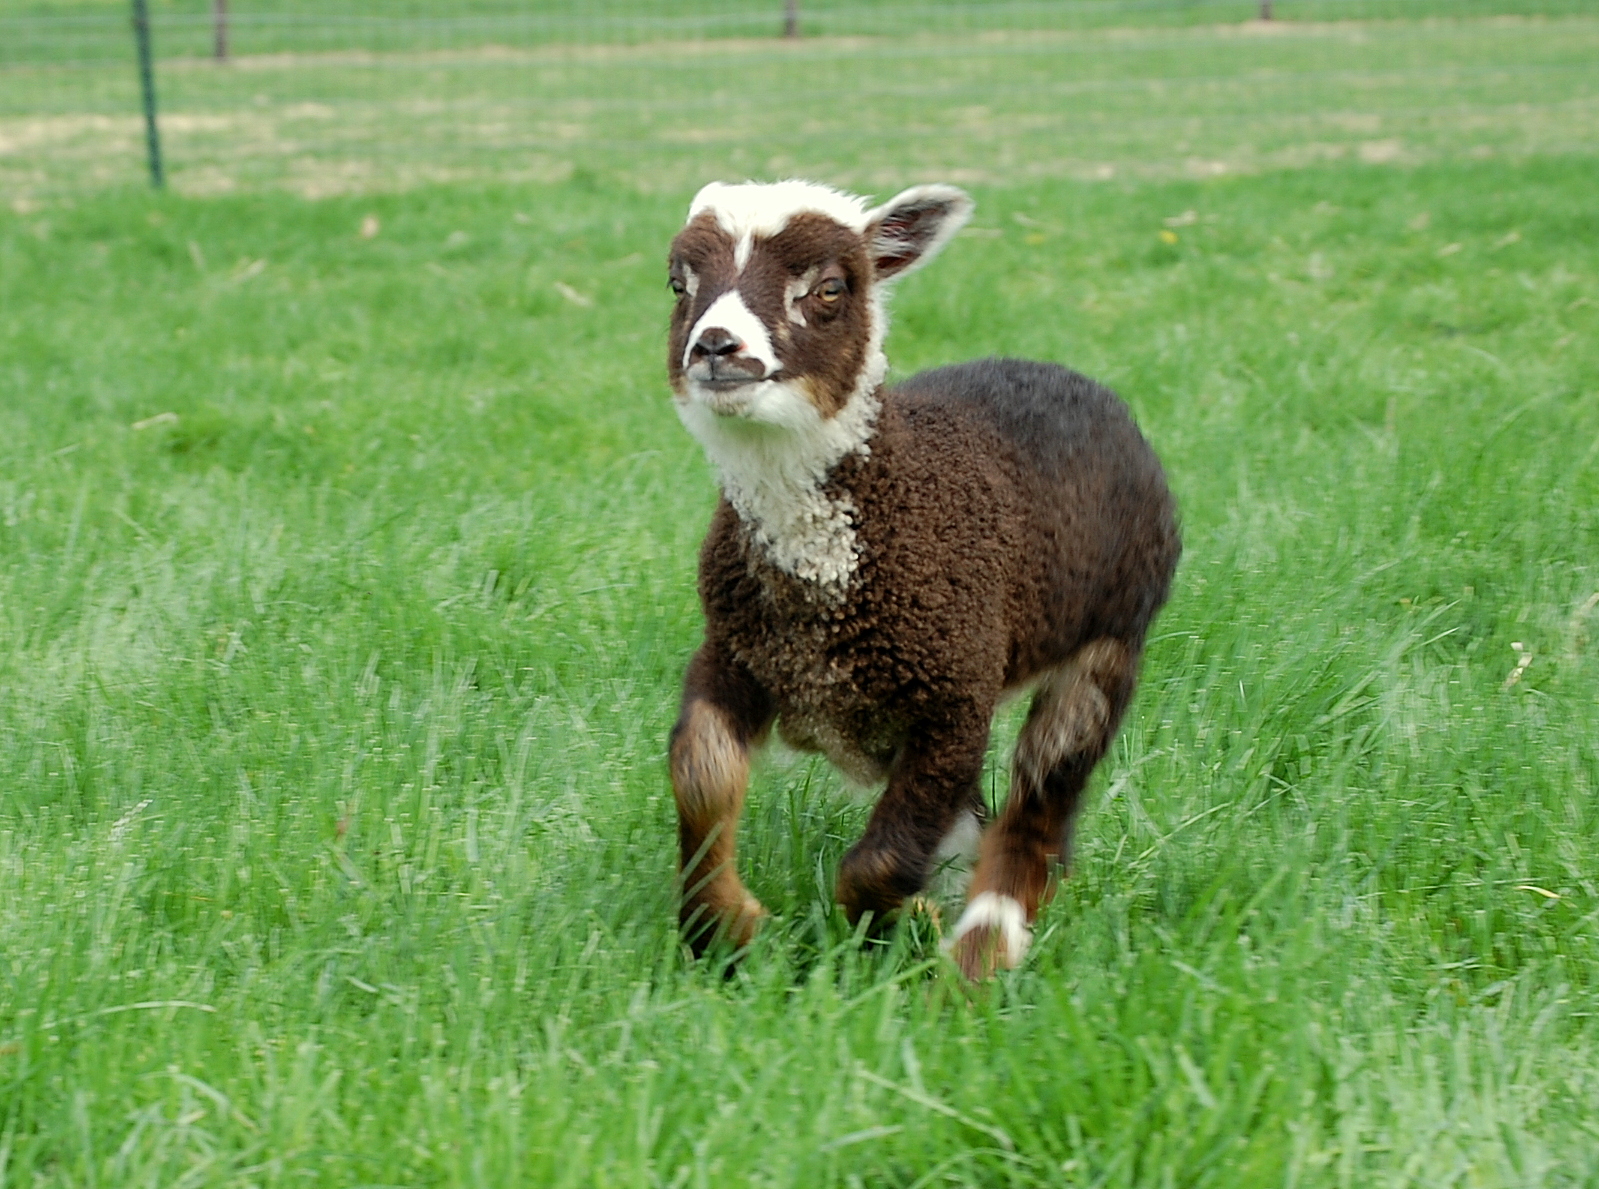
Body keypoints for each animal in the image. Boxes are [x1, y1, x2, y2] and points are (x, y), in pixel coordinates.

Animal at [664, 180, 1180, 978]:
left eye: (829, 287)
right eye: (678, 284)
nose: (716, 347)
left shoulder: (955, 691)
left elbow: (879, 861)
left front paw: (892, 925)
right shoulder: (735, 651)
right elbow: (700, 769)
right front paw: (724, 929)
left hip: (1111, 636)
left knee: (1040, 802)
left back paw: (982, 949)